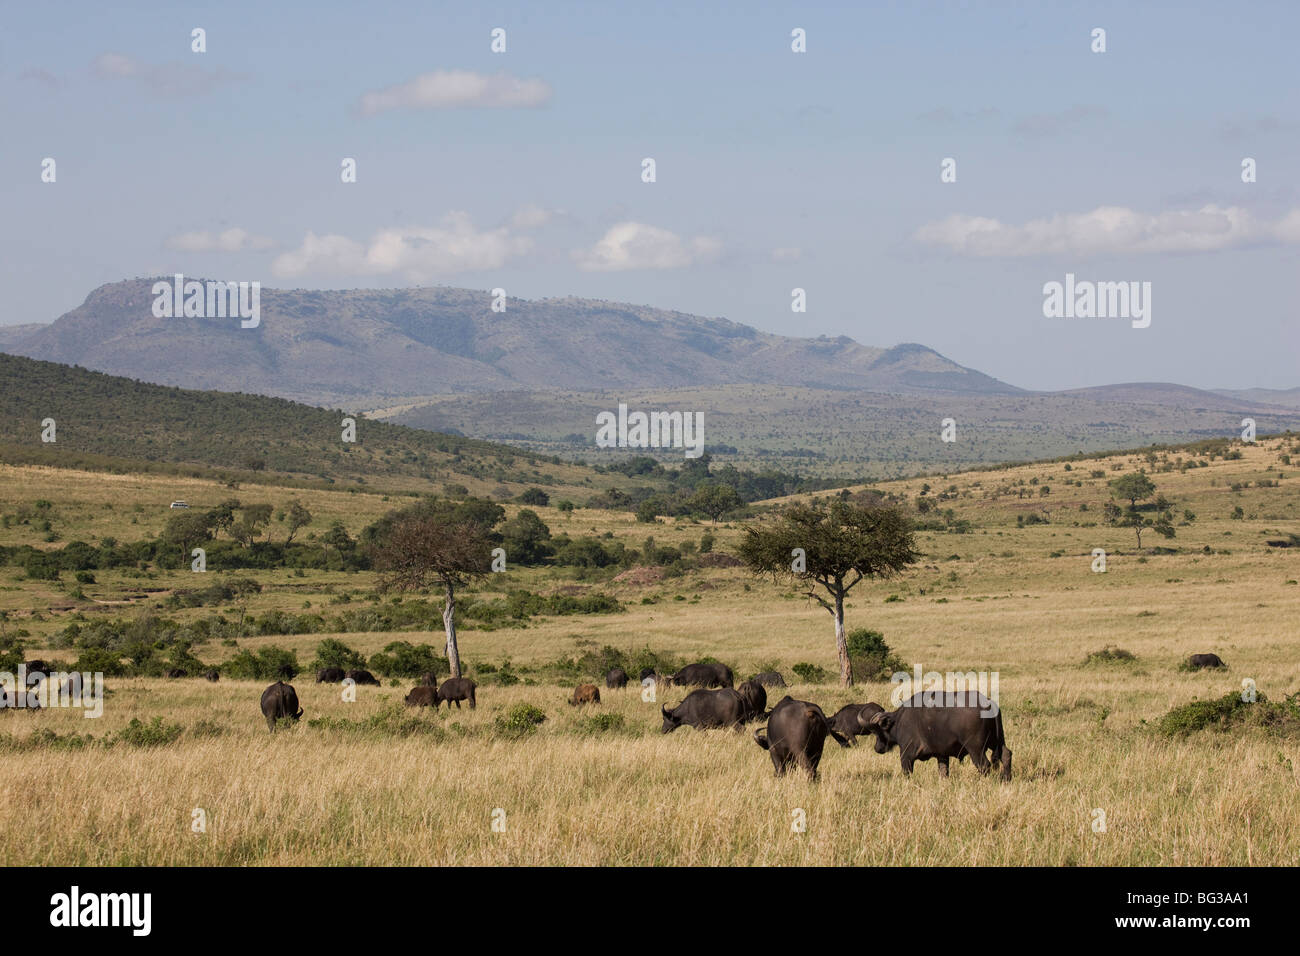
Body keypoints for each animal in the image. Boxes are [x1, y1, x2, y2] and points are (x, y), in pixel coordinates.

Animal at [862, 690, 1011, 780]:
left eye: (877, 731)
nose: (877, 748)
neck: (898, 720)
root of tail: (988, 703)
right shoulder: (942, 755)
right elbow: (943, 772)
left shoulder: (906, 755)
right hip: (997, 741)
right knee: (1006, 755)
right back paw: (1006, 779)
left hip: (976, 749)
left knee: (984, 765)